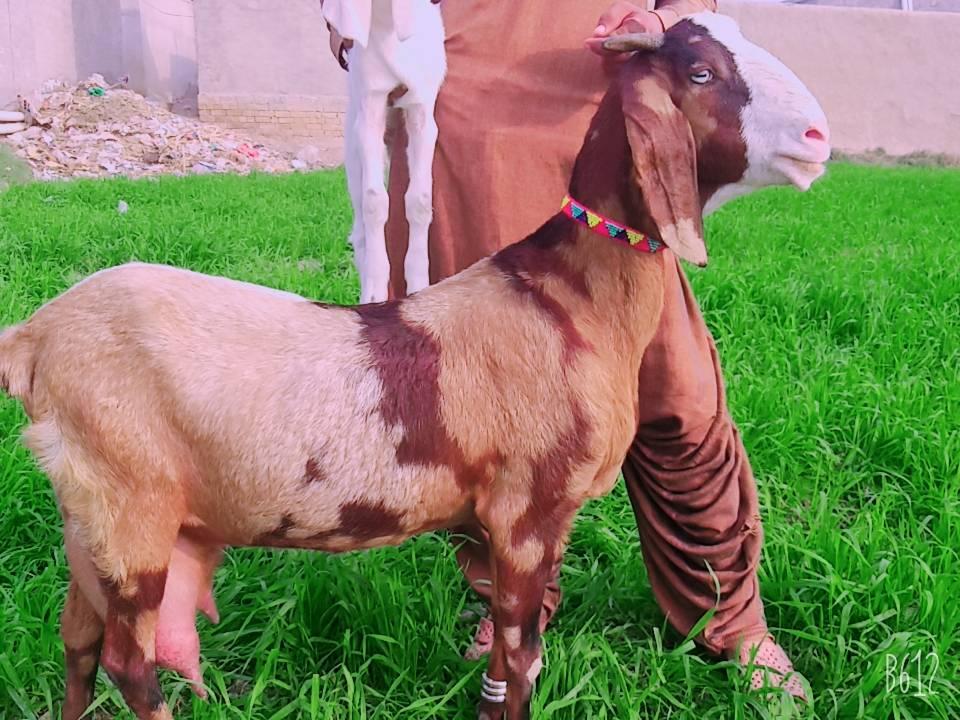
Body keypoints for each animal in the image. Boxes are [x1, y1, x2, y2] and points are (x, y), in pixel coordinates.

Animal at [322, 0, 446, 303]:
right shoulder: (370, 110)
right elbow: (375, 201)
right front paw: (376, 289)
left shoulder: (423, 112)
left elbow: (420, 200)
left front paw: (418, 283)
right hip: (353, 154)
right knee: (360, 233)